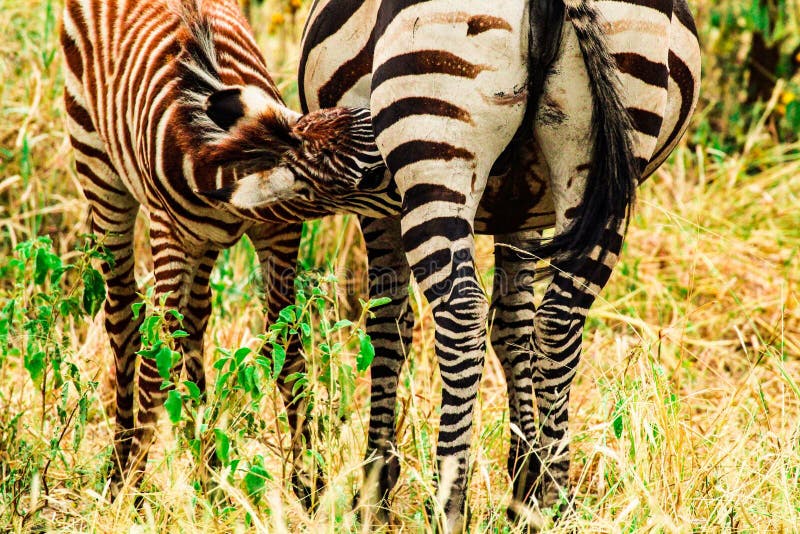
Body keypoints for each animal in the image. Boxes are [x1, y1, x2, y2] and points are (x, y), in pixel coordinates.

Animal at [60, 0, 396, 500]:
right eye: (372, 175)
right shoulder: (169, 236)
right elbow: (156, 363)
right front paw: (133, 495)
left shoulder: (278, 235)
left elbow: (288, 352)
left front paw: (309, 488)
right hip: (99, 171)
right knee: (125, 317)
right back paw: (122, 467)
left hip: (202, 246)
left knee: (193, 325)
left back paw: (207, 471)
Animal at [202, 0, 701, 528]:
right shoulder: (522, 205)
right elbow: (514, 326)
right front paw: (524, 481)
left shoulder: (379, 208)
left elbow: (389, 324)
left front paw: (374, 488)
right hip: (603, 158)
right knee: (558, 320)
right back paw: (554, 500)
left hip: (432, 137)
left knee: (460, 315)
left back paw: (449, 504)